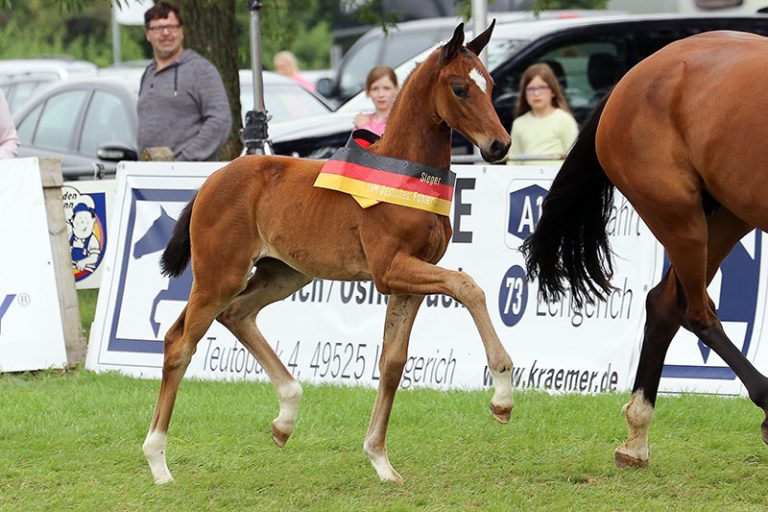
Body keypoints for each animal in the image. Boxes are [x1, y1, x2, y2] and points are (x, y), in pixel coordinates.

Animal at [142, 22, 515, 485]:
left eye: (492, 84)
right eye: (460, 88)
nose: (500, 145)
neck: (406, 175)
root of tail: (211, 180)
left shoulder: (410, 278)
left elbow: (393, 362)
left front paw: (380, 459)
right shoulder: (390, 270)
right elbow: (468, 286)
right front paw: (502, 395)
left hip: (283, 274)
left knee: (237, 314)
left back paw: (286, 416)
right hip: (219, 275)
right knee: (180, 342)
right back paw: (158, 462)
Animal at [522, 30, 768, 469]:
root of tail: (633, 75)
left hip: (730, 212)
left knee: (665, 304)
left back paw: (635, 437)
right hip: (680, 216)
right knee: (693, 311)